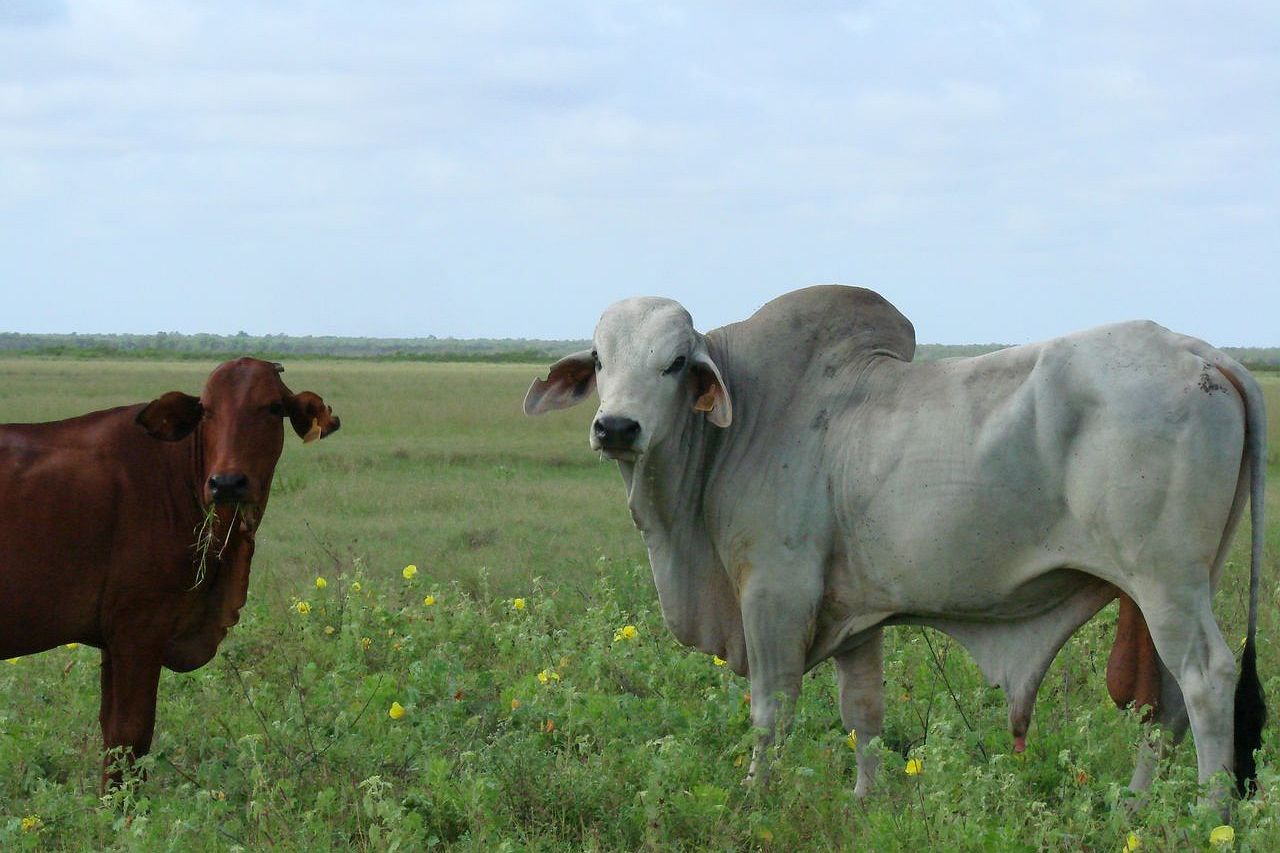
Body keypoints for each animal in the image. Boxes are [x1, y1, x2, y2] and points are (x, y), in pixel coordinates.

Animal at [0, 358, 340, 787]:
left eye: (273, 407)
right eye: (206, 411)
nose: (227, 482)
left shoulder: (113, 638)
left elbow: (111, 734)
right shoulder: (139, 628)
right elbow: (129, 737)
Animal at [524, 285, 1265, 803]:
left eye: (676, 363)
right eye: (600, 359)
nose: (617, 427)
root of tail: (1204, 354)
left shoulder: (775, 592)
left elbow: (772, 709)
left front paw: (755, 795)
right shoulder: (855, 611)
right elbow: (864, 712)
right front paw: (866, 797)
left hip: (1166, 583)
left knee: (1206, 680)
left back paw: (1207, 812)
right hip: (1170, 587)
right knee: (1164, 701)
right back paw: (1135, 809)